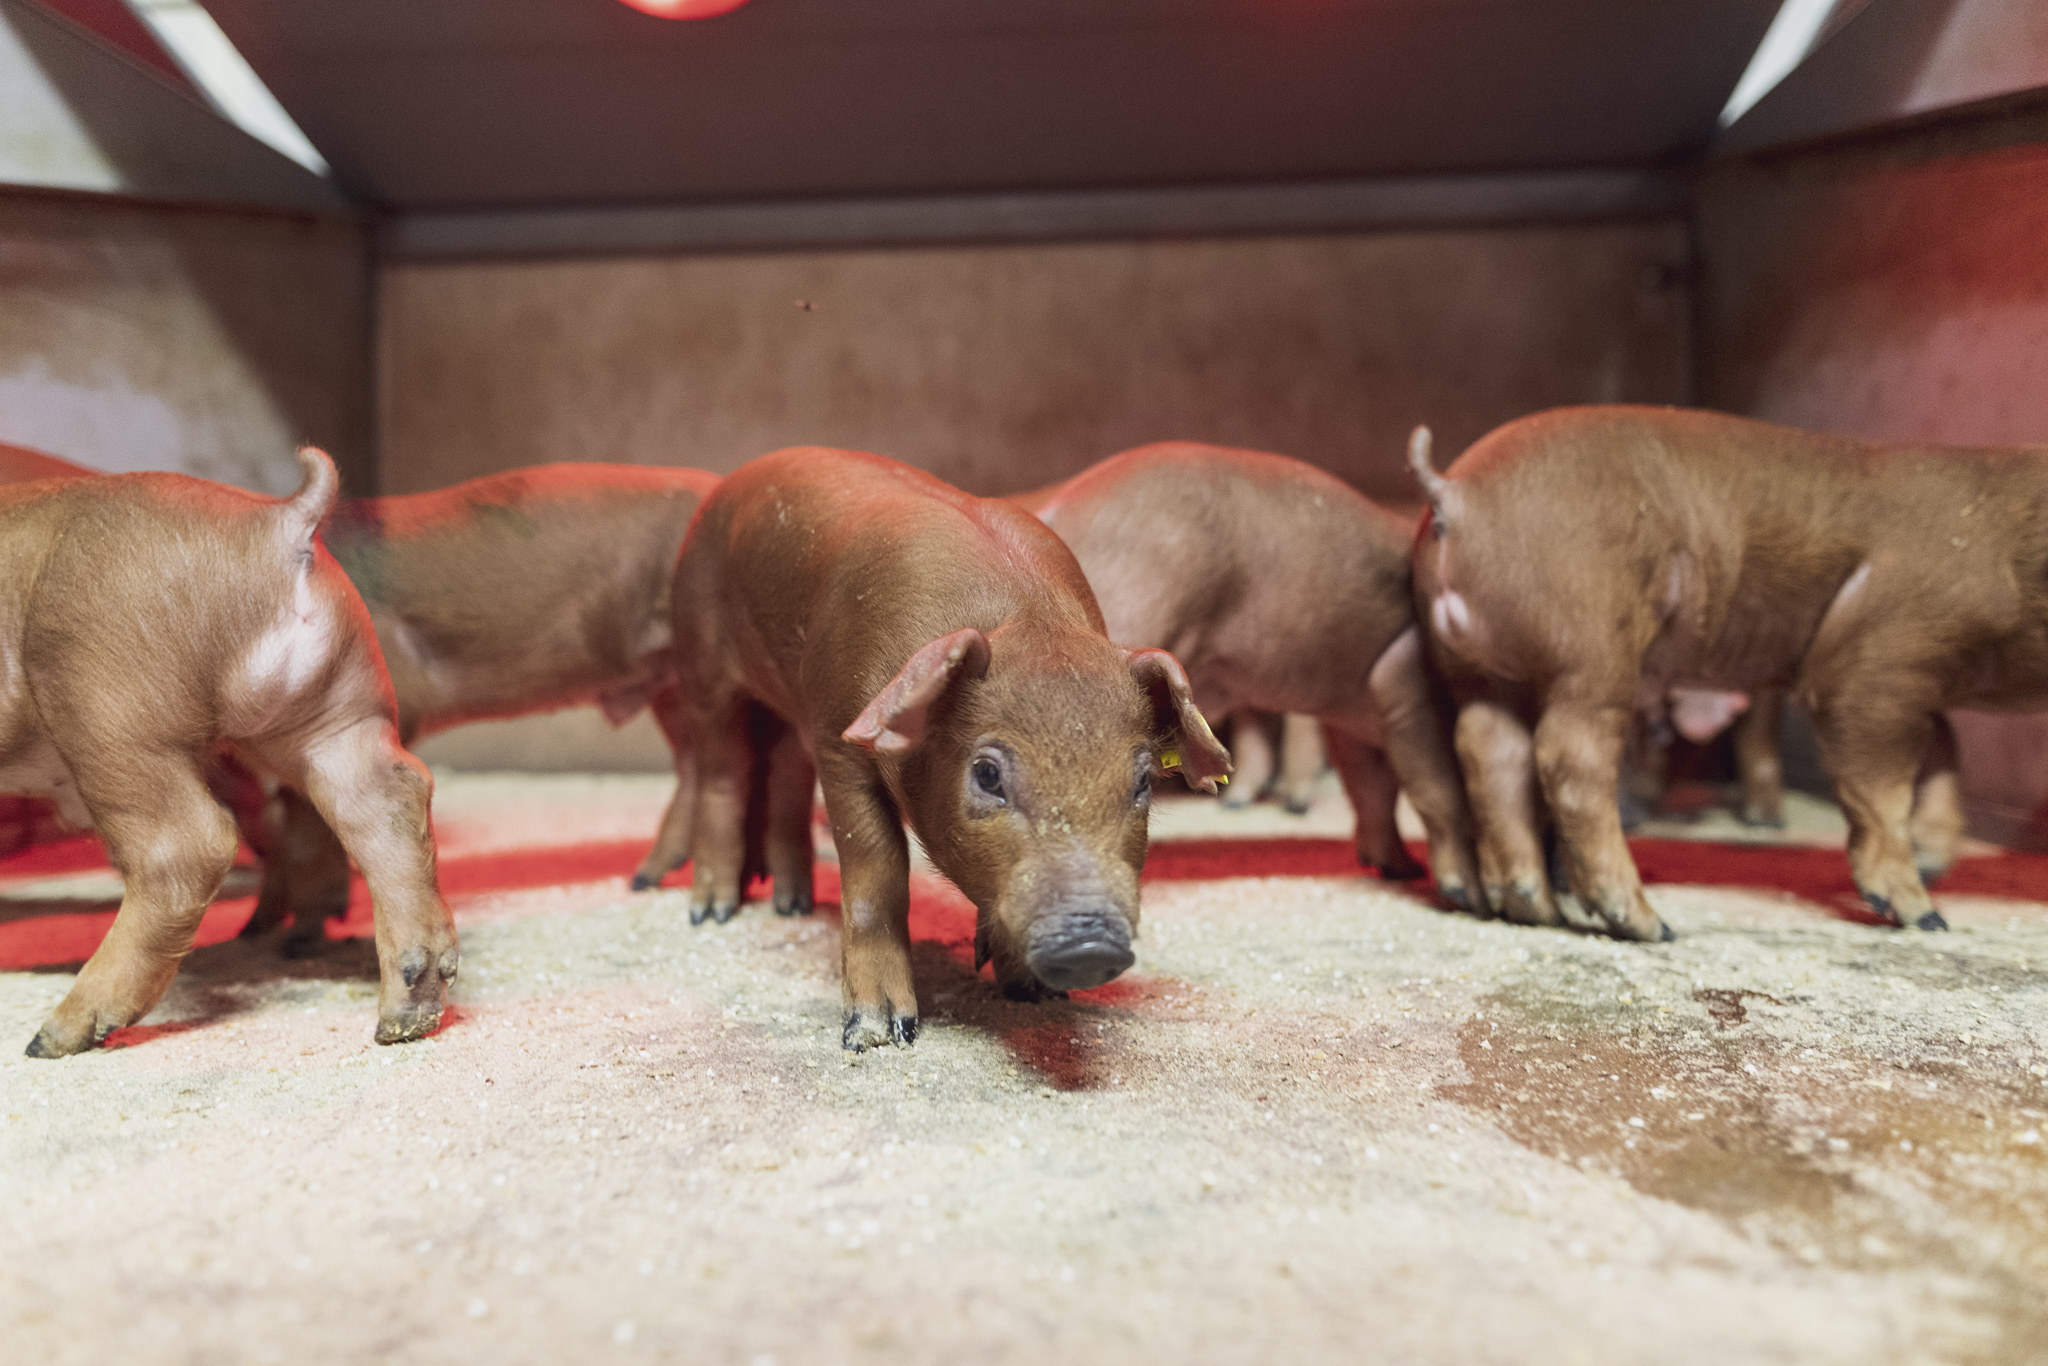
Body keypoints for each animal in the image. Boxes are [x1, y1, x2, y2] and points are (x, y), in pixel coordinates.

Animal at [12, 450, 456, 1056]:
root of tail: (280, 521)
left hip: (108, 709)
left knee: (186, 845)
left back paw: (54, 1037)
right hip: (337, 716)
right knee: (386, 800)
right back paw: (403, 1017)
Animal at [237, 463, 718, 949]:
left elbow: (313, 832)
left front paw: (295, 941)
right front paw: (259, 931)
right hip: (671, 687)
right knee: (692, 765)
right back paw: (645, 880)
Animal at [649, 447, 1231, 1050]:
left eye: (1143, 780)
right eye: (987, 774)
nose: (1089, 945)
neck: (1027, 617)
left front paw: (1034, 994)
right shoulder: (837, 734)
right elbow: (878, 868)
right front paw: (880, 1033)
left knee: (785, 772)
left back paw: (793, 906)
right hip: (703, 666)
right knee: (723, 773)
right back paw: (712, 914)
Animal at [1032, 443, 1485, 908]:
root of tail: (1057, 510)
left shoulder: (1351, 720)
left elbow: (1371, 789)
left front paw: (1400, 869)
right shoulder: (1409, 695)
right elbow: (1437, 790)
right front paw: (1468, 898)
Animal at [1409, 405, 2017, 940]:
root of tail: (1451, 492)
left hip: (1486, 670)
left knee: (1490, 749)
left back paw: (1536, 907)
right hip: (1589, 653)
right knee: (1569, 756)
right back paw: (1653, 925)